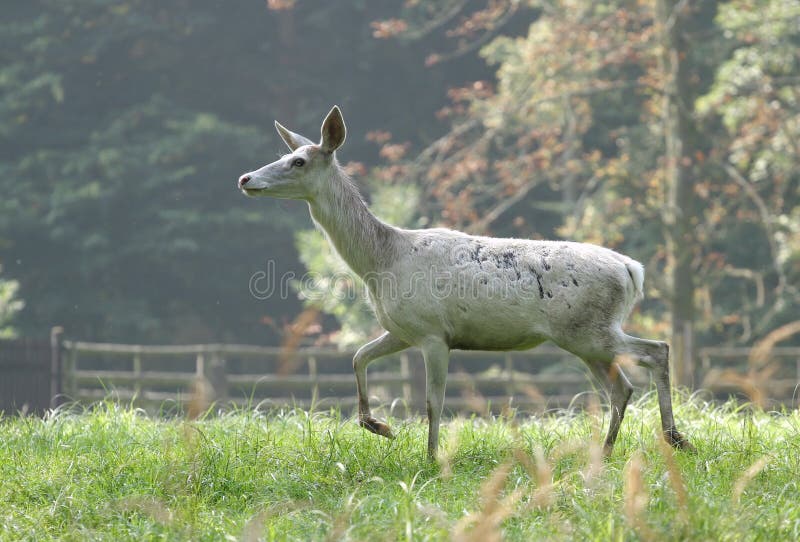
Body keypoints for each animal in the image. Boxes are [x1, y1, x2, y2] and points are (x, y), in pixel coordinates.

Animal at [238, 105, 694, 459]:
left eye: (298, 161)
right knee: (622, 387)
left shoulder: (434, 332)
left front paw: (431, 457)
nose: (245, 179)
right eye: (286, 153)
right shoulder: (402, 329)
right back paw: (609, 450)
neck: (382, 259)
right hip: (585, 337)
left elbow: (433, 402)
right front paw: (378, 425)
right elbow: (357, 357)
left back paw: (675, 438)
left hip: (588, 329)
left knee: (656, 351)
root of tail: (631, 269)